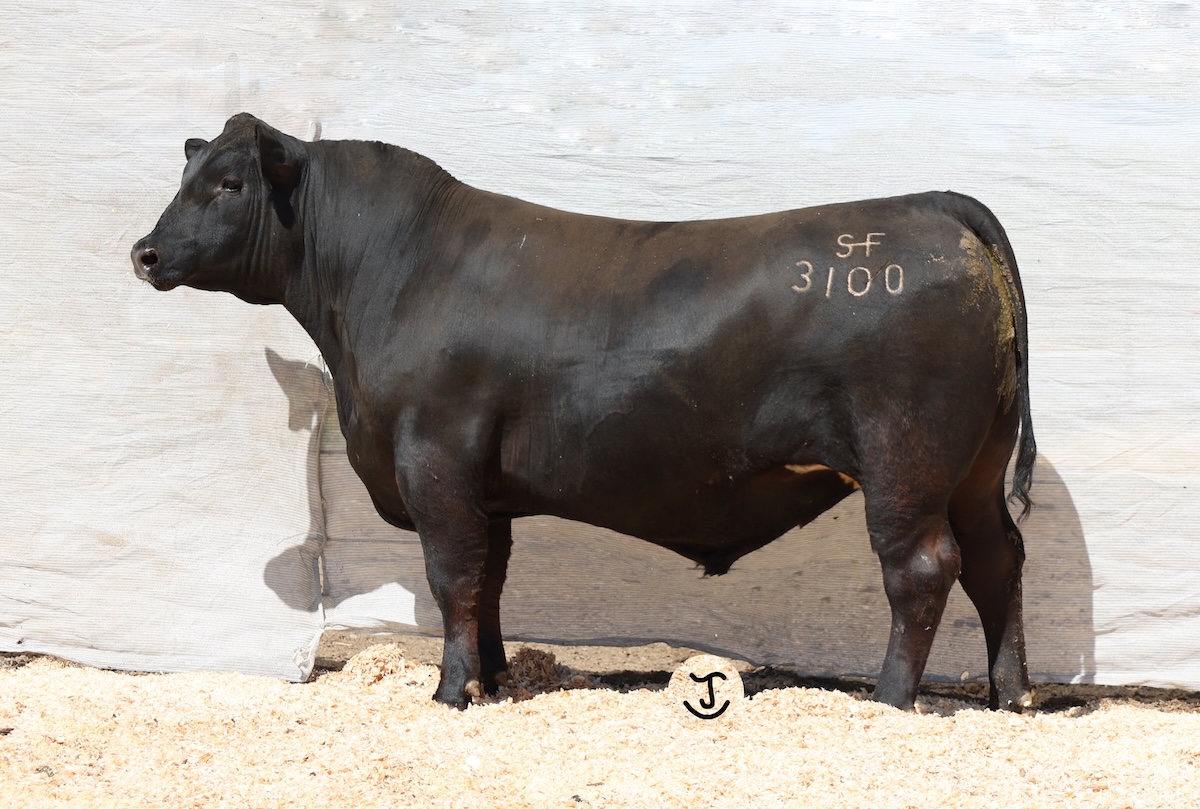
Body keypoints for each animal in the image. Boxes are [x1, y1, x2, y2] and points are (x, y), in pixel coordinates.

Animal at [132, 113, 1036, 712]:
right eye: (184, 179)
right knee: (999, 558)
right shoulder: (484, 486)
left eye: (228, 184)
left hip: (904, 460)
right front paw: (494, 676)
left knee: (922, 568)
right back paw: (1013, 693)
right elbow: (489, 579)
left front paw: (453, 689)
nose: (145, 251)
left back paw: (888, 698)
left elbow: (451, 573)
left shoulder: (435, 456)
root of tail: (934, 204)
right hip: (975, 466)